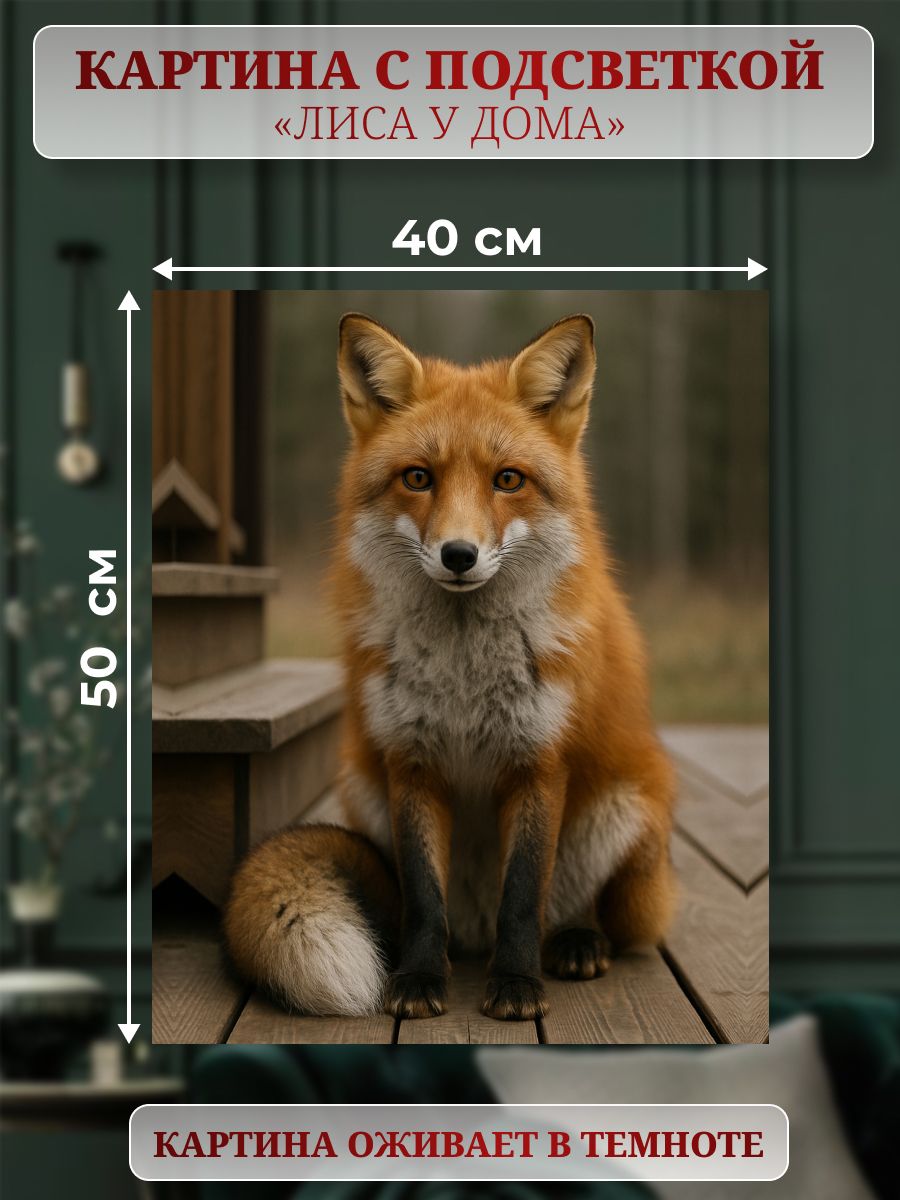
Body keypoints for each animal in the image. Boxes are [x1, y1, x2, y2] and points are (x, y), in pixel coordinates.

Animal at [224, 311, 676, 1022]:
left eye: (508, 480)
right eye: (418, 478)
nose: (458, 554)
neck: (465, 677)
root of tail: (474, 930)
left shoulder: (539, 764)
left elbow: (523, 896)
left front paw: (515, 984)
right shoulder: (410, 763)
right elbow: (422, 898)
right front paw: (417, 980)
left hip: (624, 809)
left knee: (574, 910)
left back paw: (577, 941)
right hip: (363, 786)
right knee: (420, 908)